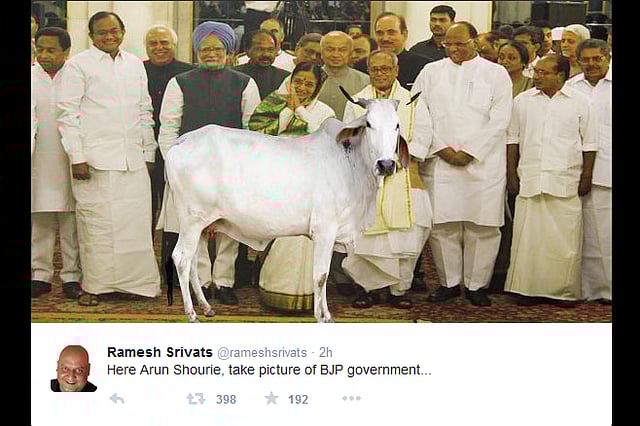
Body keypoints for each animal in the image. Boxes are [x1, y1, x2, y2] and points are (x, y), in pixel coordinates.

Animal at [164, 88, 420, 322]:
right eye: (368, 124)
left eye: (397, 125)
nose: (386, 164)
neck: (349, 162)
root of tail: (181, 141)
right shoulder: (324, 230)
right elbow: (320, 275)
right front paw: (322, 316)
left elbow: (323, 274)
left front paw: (326, 314)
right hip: (191, 221)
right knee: (181, 259)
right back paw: (192, 314)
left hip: (201, 225)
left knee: (192, 262)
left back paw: (206, 307)